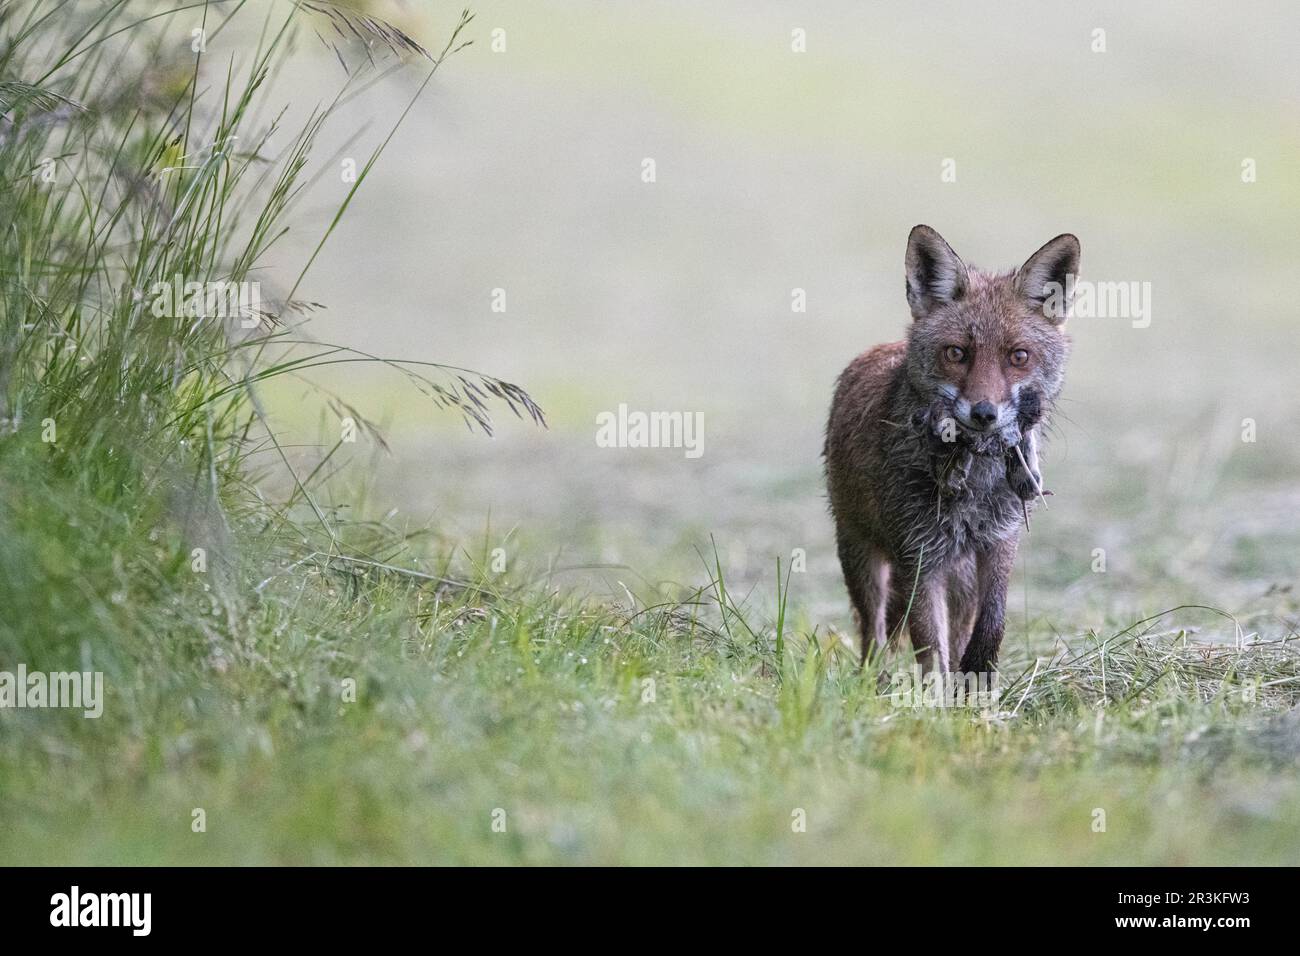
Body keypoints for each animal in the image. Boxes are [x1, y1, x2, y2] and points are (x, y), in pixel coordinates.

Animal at [823, 225, 1080, 674]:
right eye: (956, 353)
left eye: (1019, 356)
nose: (984, 414)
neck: (975, 481)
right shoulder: (918, 554)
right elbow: (930, 647)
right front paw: (940, 691)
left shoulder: (1000, 541)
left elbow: (992, 622)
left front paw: (978, 672)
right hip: (861, 555)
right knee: (874, 635)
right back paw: (876, 682)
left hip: (958, 574)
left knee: (956, 626)